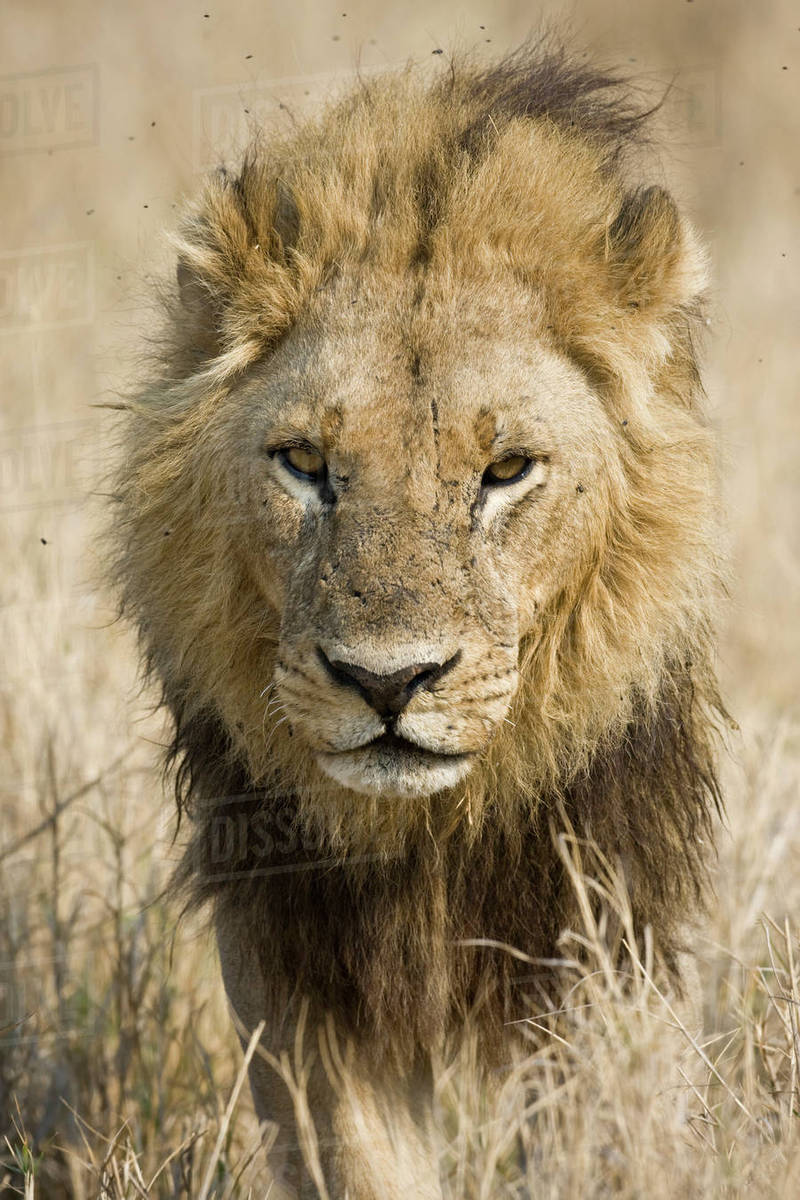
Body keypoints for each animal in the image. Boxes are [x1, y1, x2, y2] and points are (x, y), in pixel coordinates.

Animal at [112, 42, 725, 1198]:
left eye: (505, 471)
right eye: (305, 463)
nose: (386, 682)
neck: (428, 836)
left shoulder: (603, 933)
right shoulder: (295, 971)